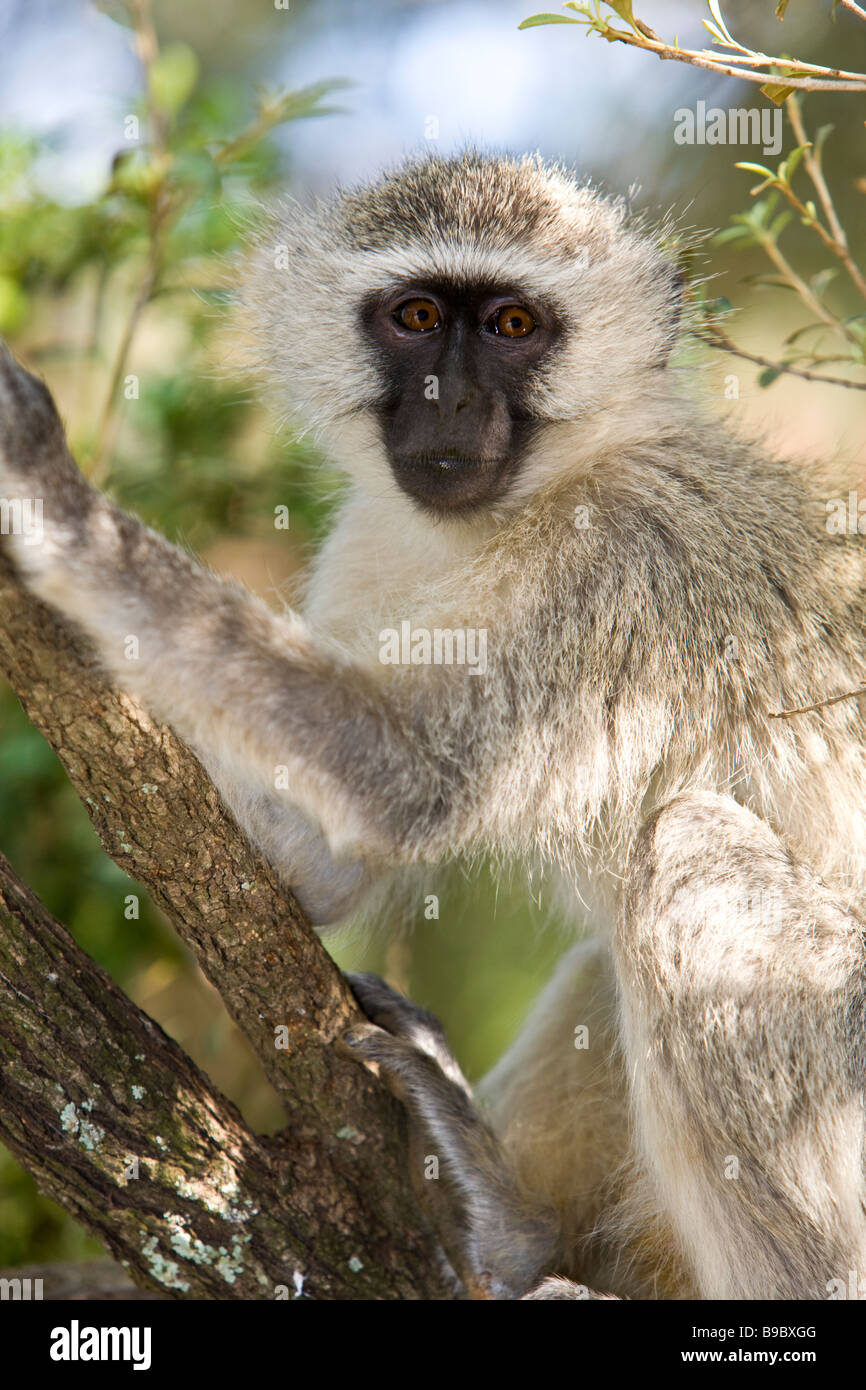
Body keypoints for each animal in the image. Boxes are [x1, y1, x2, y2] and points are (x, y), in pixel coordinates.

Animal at [2, 150, 866, 1300]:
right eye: (414, 317)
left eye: (512, 326)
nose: (446, 397)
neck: (507, 520)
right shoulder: (371, 539)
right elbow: (320, 871)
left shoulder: (621, 558)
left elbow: (408, 782)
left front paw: (53, 503)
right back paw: (515, 1235)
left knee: (690, 846)